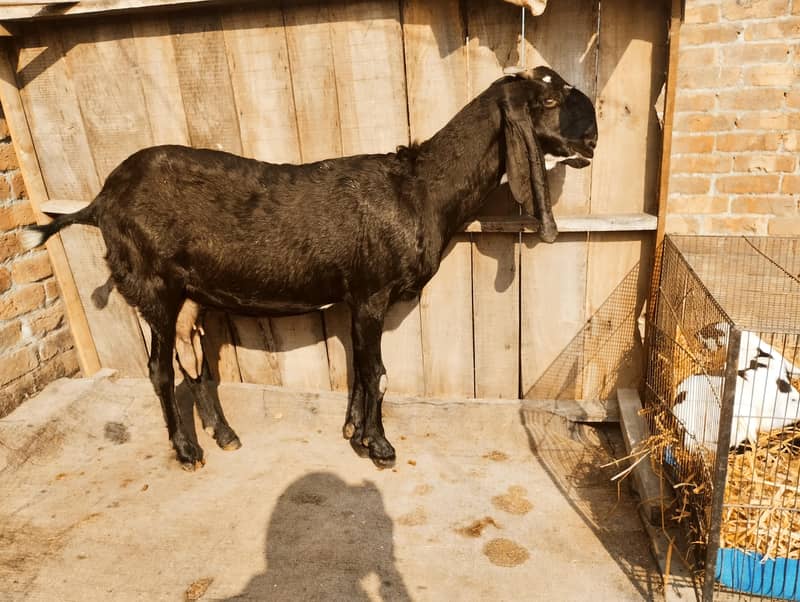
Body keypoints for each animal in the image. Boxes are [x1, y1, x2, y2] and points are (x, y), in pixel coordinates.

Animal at [24, 66, 598, 470]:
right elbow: (377, 374)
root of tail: (100, 200)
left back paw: (225, 436)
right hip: (153, 287)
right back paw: (188, 452)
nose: (591, 139)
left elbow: (360, 371)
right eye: (548, 100)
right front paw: (379, 446)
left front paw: (352, 433)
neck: (419, 189)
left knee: (195, 363)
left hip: (190, 297)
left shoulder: (356, 299)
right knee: (159, 369)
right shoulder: (371, 292)